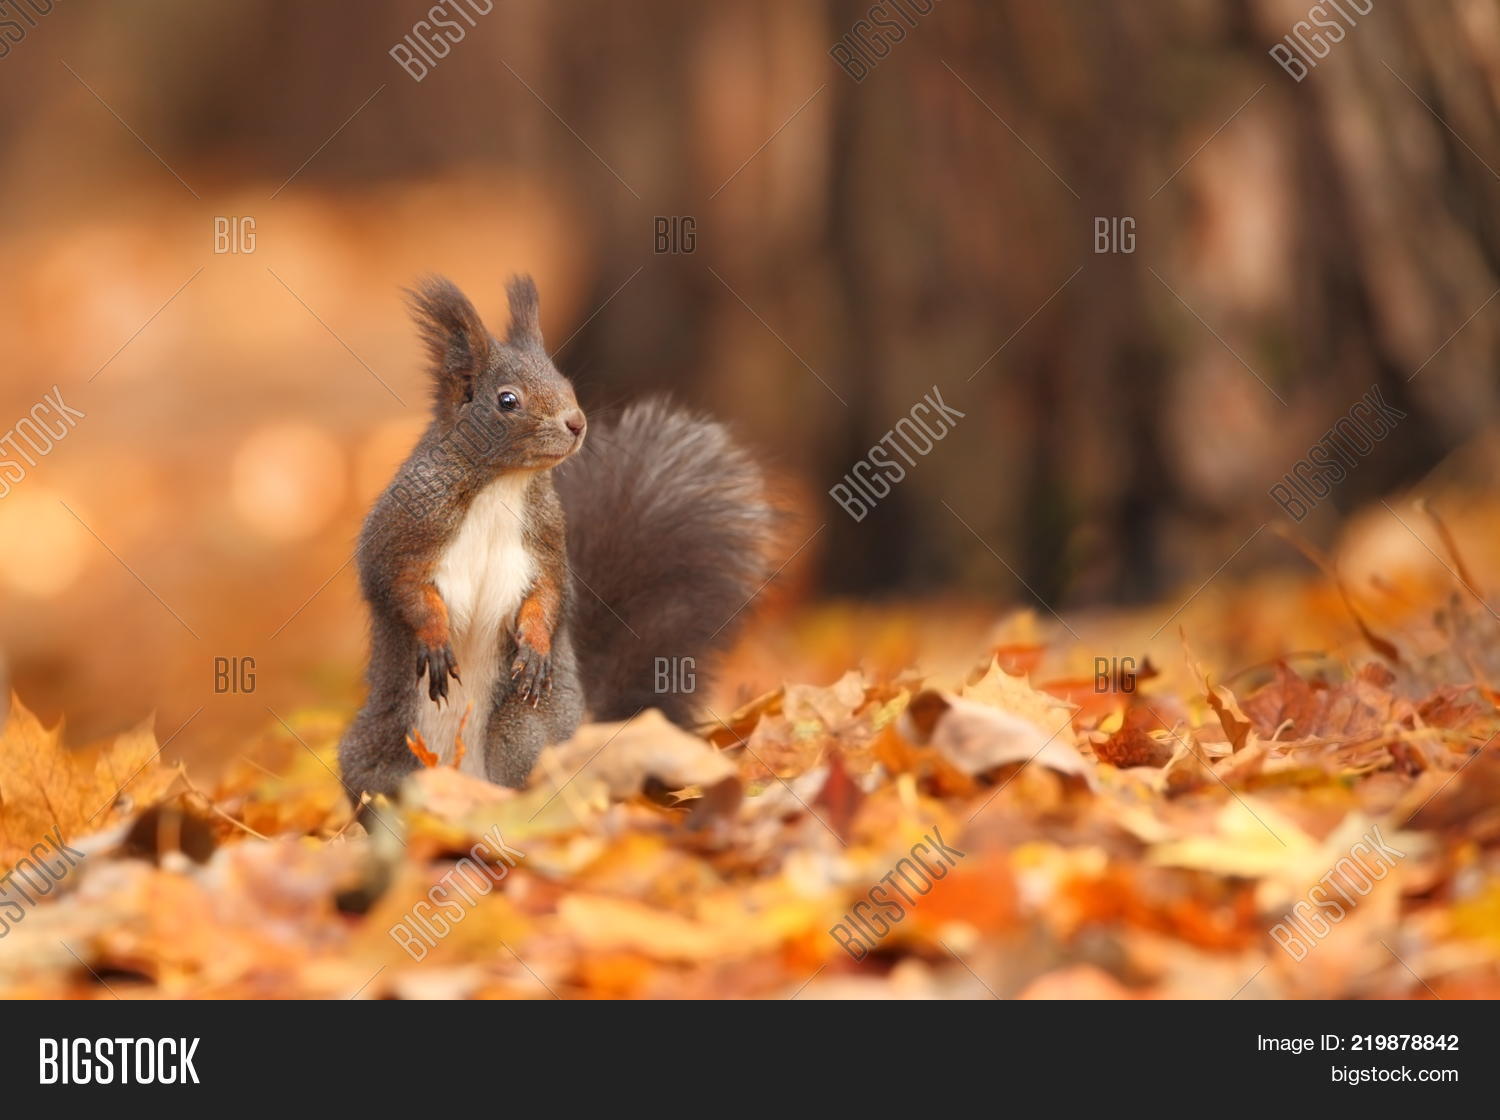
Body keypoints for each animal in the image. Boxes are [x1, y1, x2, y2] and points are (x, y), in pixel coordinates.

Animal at [338, 275, 776, 800]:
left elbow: (549, 595)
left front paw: (536, 647)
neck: (502, 484)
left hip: (525, 729)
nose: (577, 422)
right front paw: (437, 636)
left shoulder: (546, 540)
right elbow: (399, 585)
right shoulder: (404, 525)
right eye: (507, 400)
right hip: (377, 749)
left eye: (566, 385)